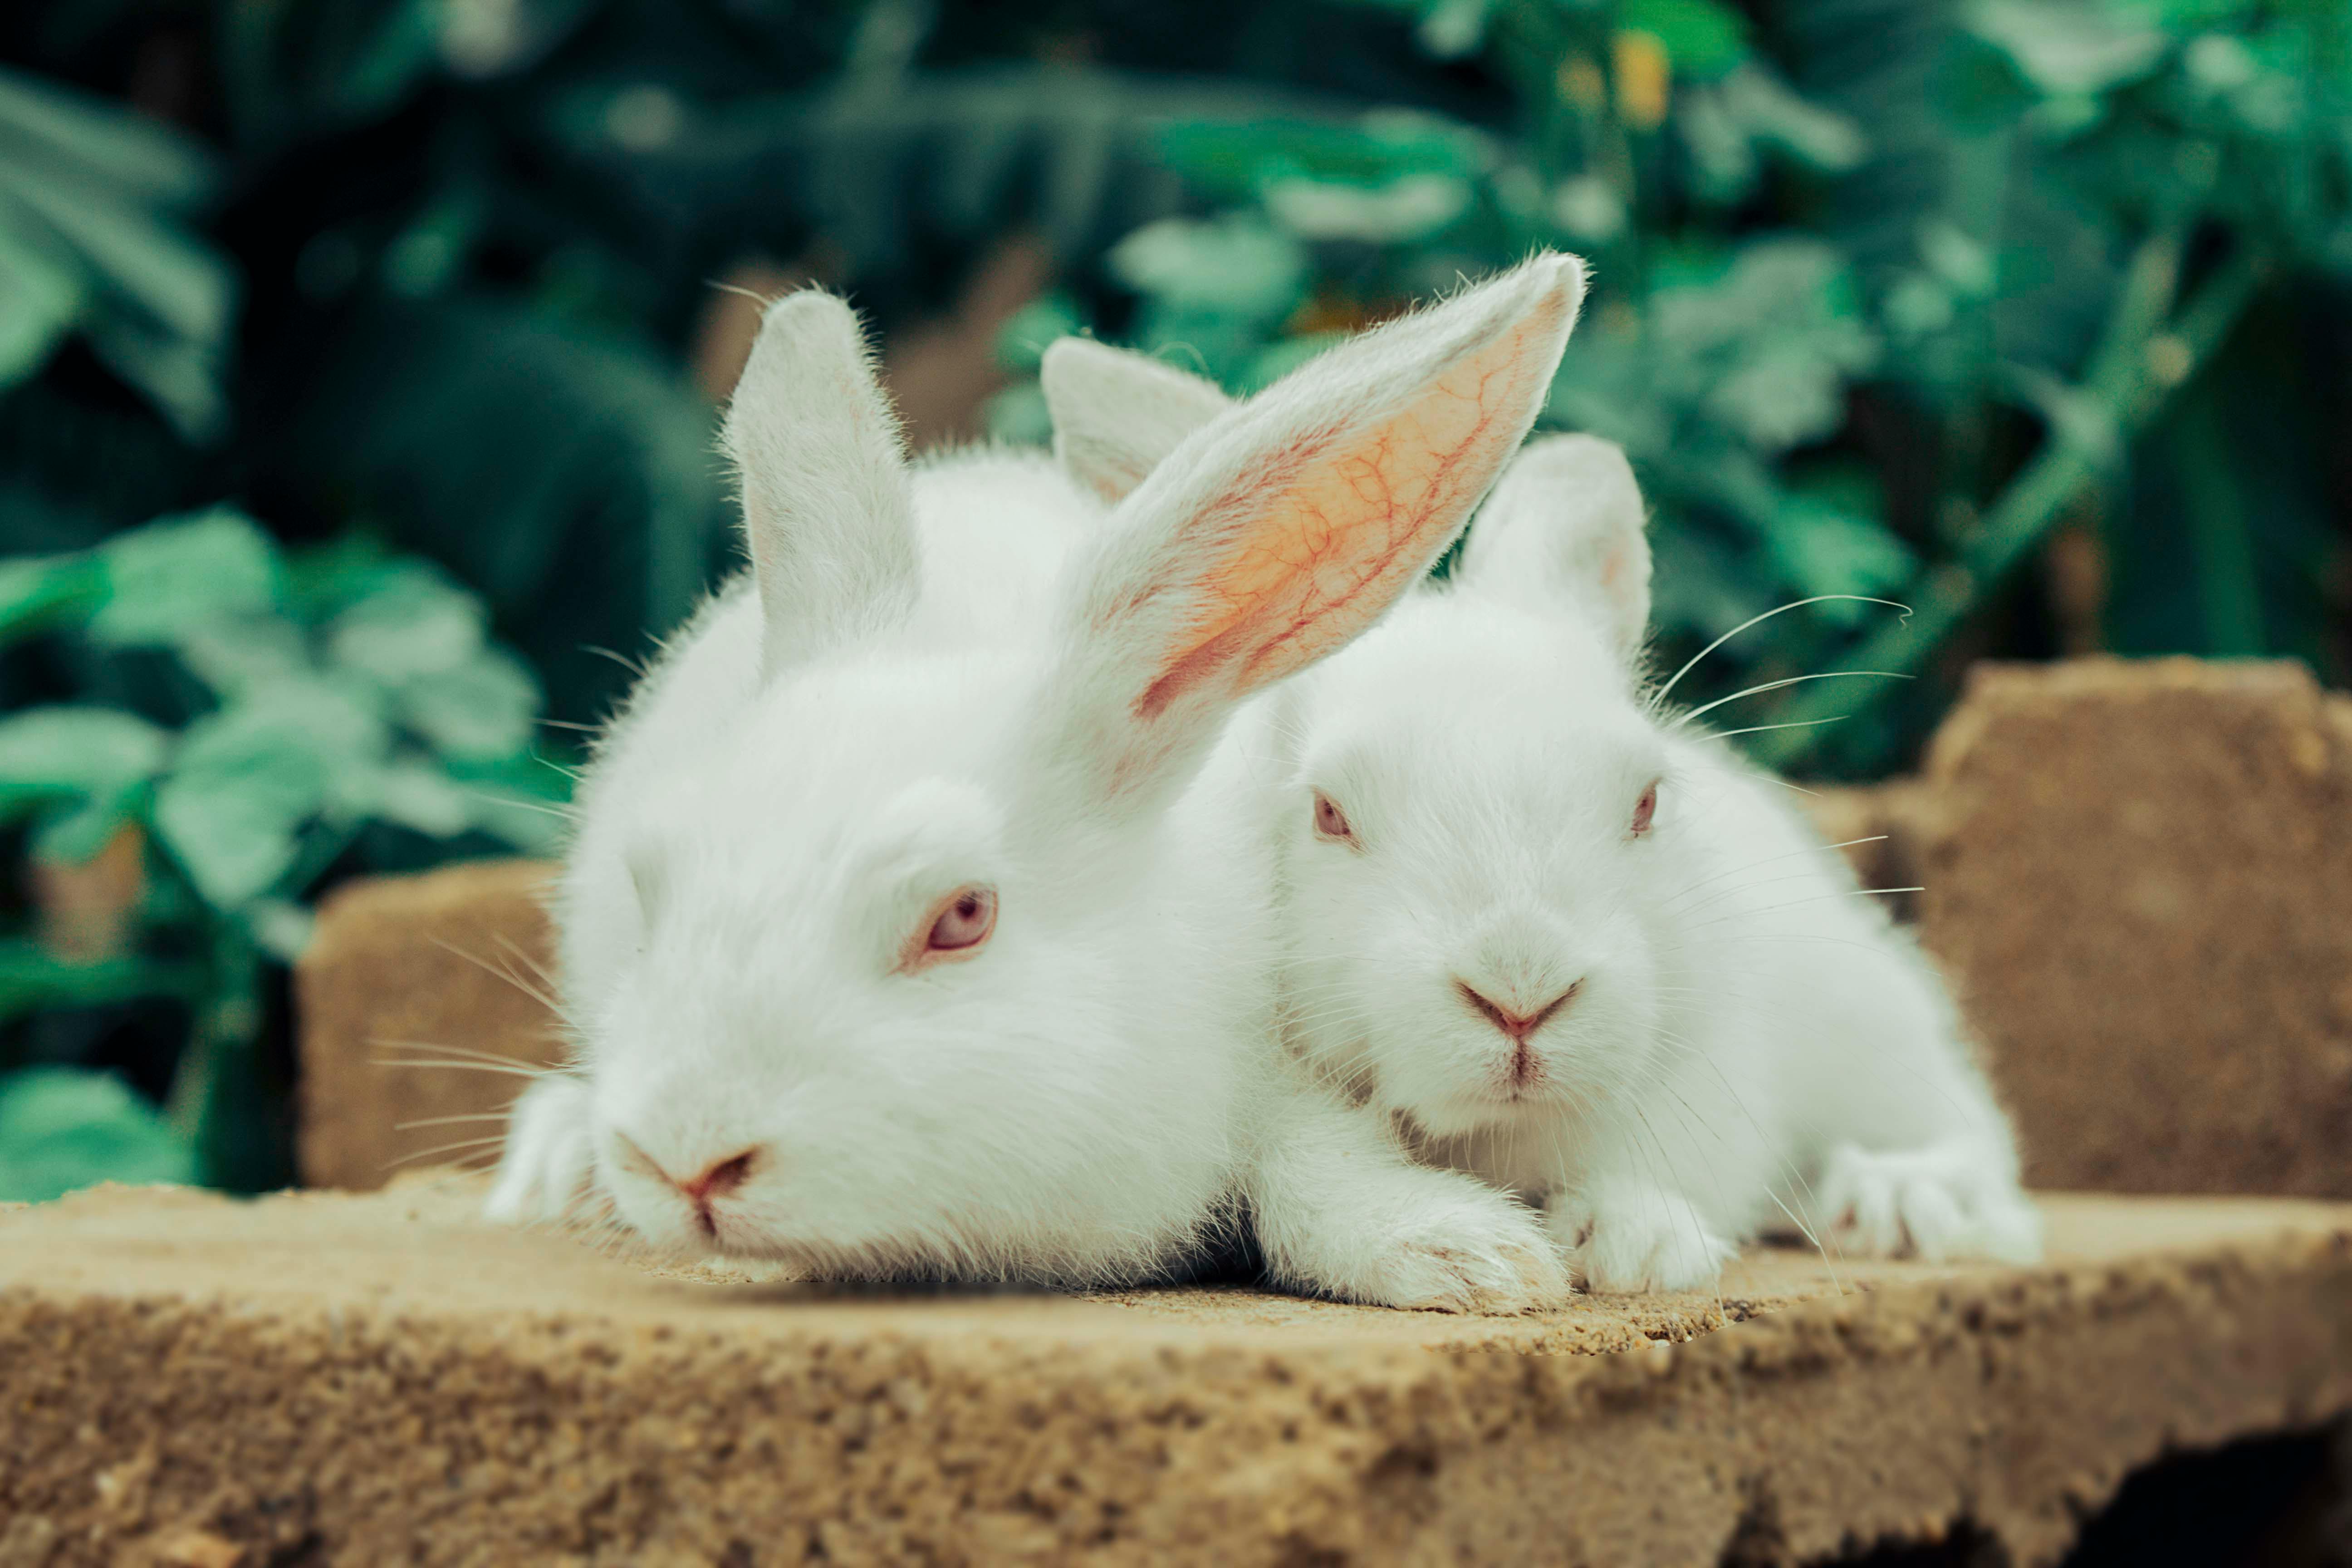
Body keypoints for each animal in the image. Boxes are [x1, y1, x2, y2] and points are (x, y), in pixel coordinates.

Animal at [1041, 358, 2042, 1294]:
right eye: (1327, 813)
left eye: (1645, 802)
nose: (1521, 993)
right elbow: (1311, 1174)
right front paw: (1464, 1257)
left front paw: (1636, 1245)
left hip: (1876, 1022)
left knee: (1976, 1139)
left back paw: (1898, 1205)